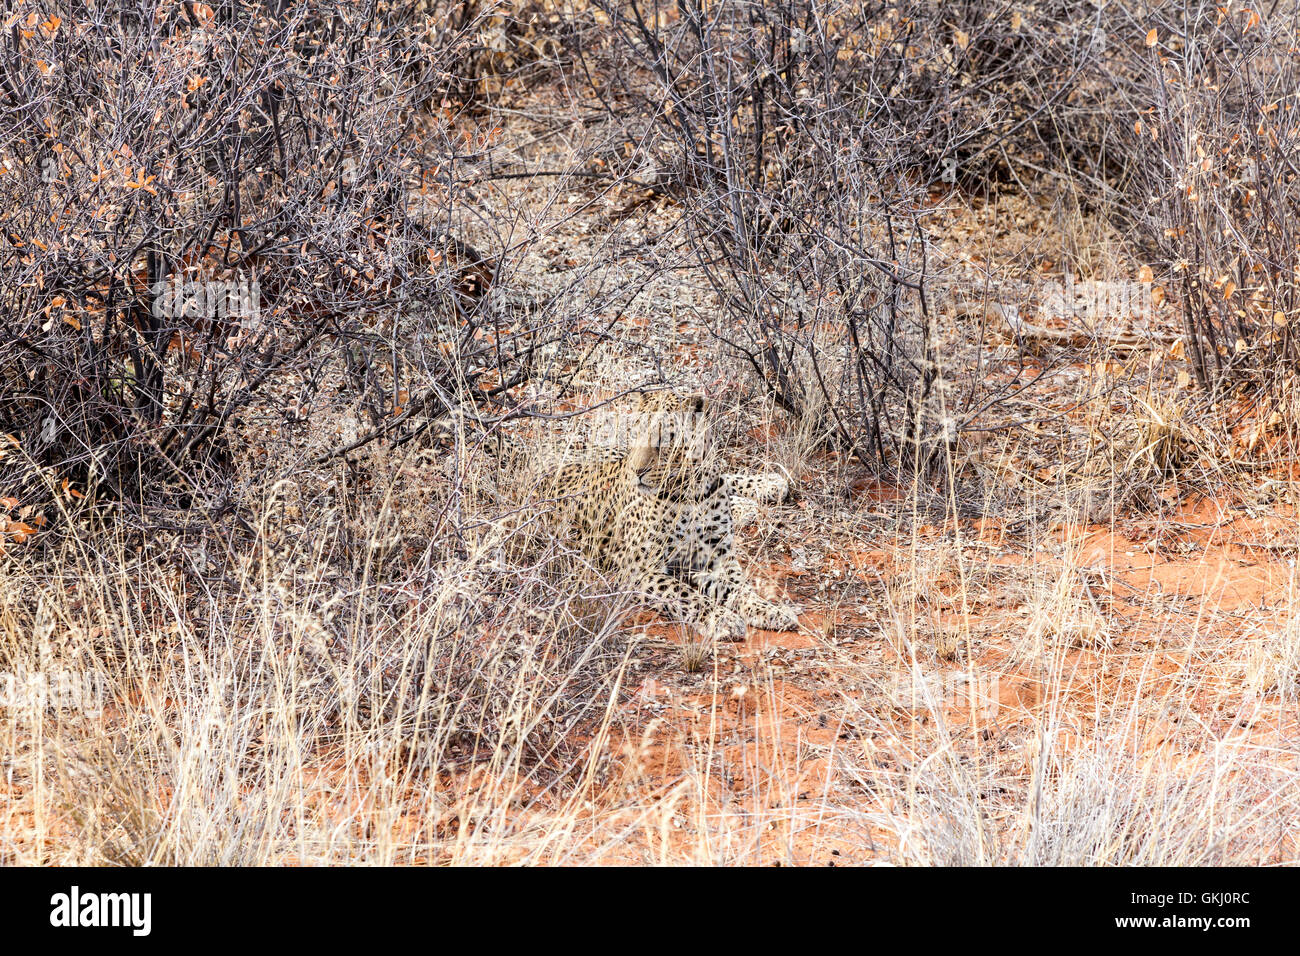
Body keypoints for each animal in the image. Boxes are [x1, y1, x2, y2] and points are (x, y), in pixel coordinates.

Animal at [544, 391, 800, 642]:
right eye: (634, 433)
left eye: (665, 439)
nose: (636, 471)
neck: (693, 493)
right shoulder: (640, 567)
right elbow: (684, 594)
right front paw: (721, 619)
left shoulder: (717, 556)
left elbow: (741, 587)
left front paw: (770, 610)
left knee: (725, 476)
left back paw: (768, 484)